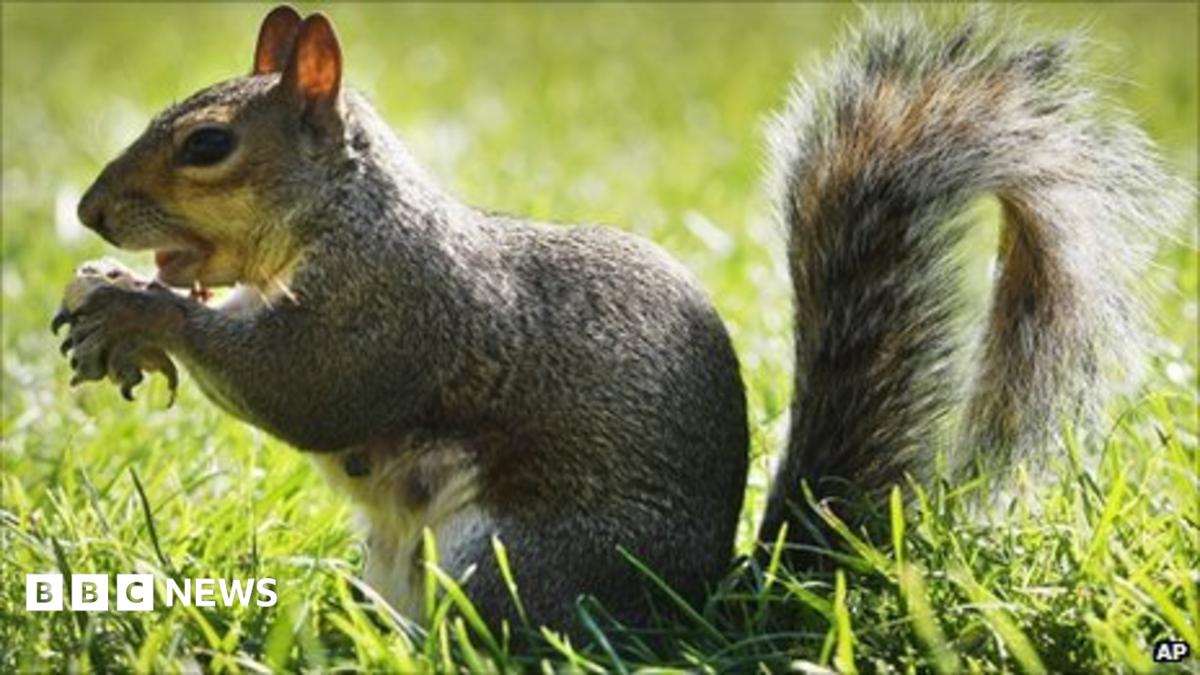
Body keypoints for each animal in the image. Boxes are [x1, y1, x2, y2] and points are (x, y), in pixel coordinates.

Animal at [55, 6, 1186, 632]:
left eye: (207, 144)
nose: (91, 212)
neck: (342, 213)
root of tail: (708, 603)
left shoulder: (395, 308)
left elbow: (309, 387)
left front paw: (134, 306)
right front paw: (117, 287)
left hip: (508, 563)